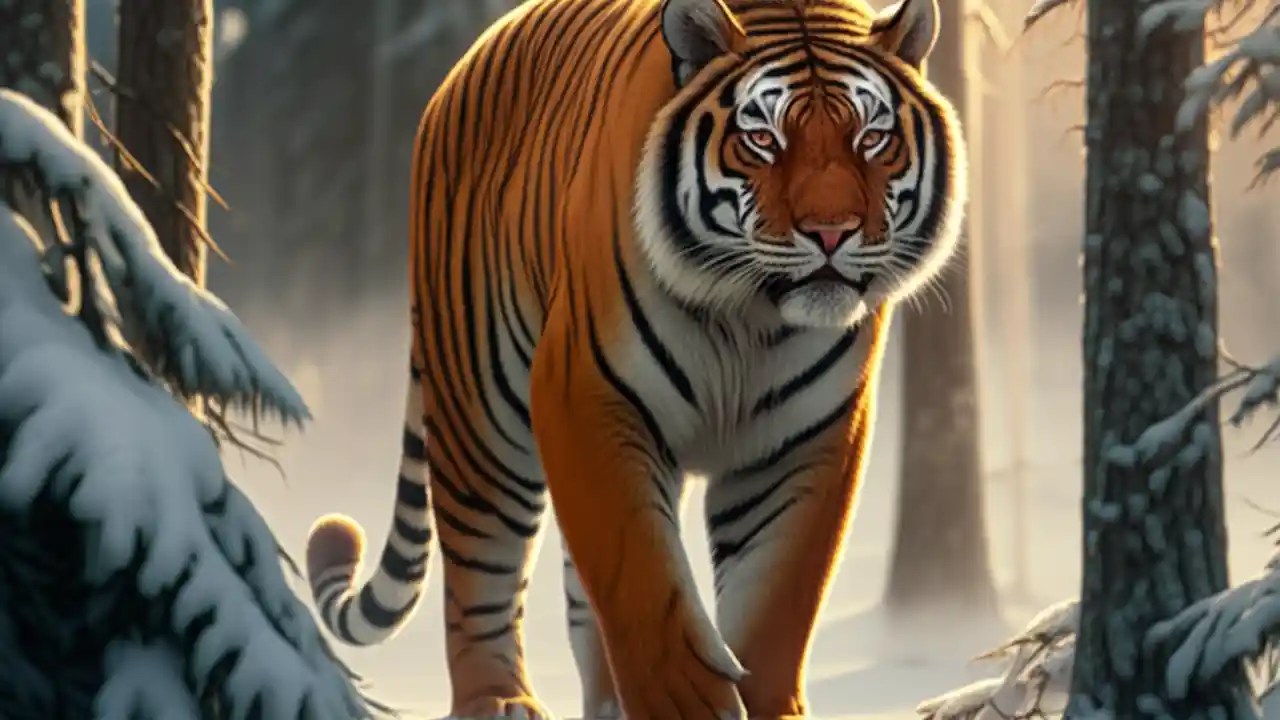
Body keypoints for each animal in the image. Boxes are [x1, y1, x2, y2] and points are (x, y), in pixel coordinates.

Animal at [305, 0, 965, 718]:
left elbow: (775, 603)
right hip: (482, 412)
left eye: (872, 138)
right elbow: (639, 577)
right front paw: (686, 700)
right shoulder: (587, 398)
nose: (831, 232)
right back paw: (498, 699)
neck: (750, 318)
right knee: (481, 567)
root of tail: (469, 60)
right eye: (764, 140)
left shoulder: (805, 440)